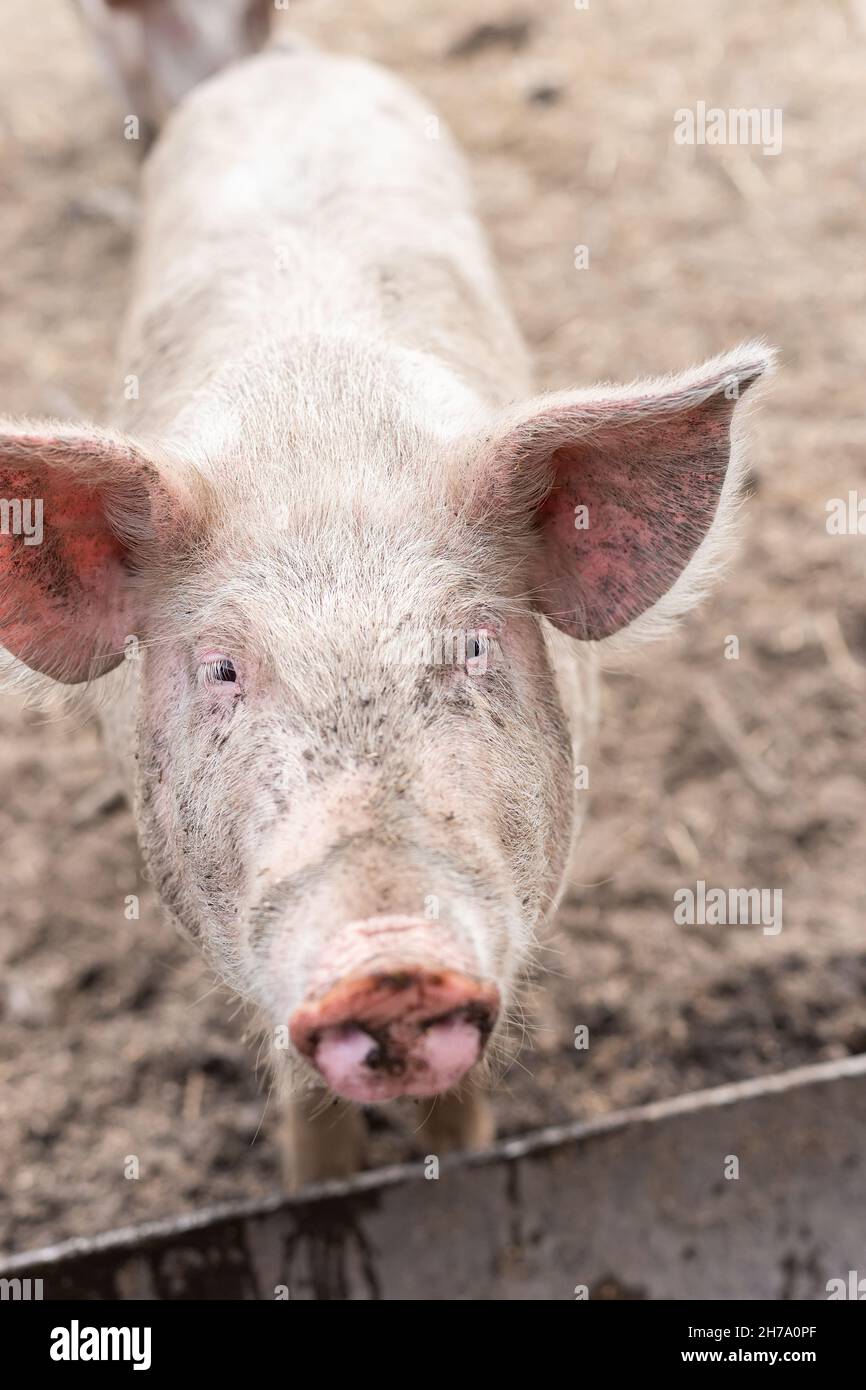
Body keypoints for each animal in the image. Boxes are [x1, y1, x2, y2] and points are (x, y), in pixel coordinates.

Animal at [0, 3, 773, 1186]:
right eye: (221, 667)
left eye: (473, 646)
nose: (392, 963)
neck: (324, 441)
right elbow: (307, 1115)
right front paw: (312, 1190)